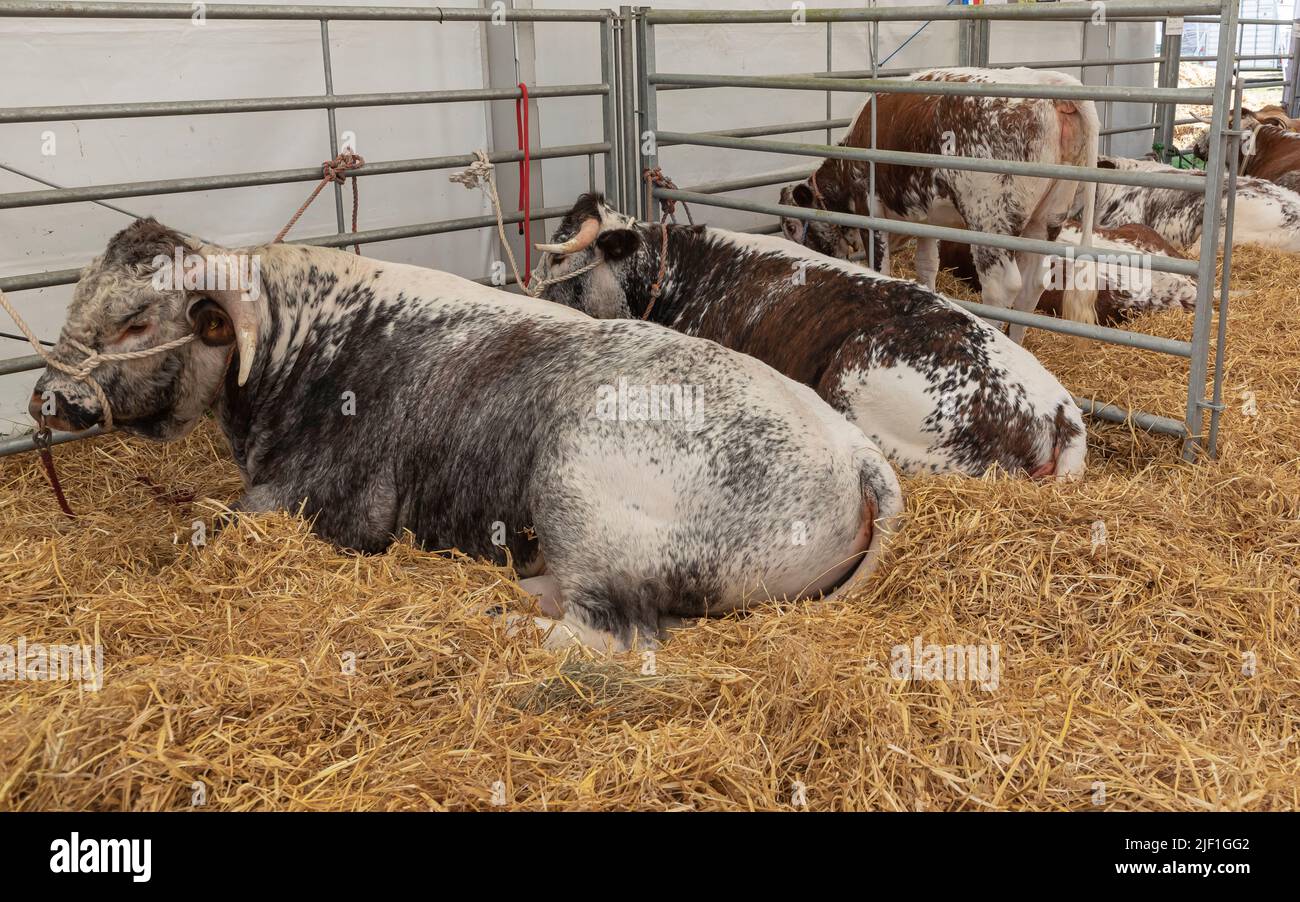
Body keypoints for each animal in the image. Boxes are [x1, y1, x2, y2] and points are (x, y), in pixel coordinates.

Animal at [28, 219, 904, 652]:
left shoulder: (324, 506)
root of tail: (856, 455)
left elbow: (208, 529)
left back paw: (505, 625)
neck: (304, 350)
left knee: (608, 634)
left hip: (578, 482)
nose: (49, 400)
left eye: (137, 320)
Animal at [777, 66, 1100, 336]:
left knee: (1001, 288)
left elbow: (879, 267)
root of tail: (1051, 82)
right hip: (1047, 218)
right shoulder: (927, 221)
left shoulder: (871, 209)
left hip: (989, 218)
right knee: (1032, 288)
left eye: (791, 227)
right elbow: (927, 265)